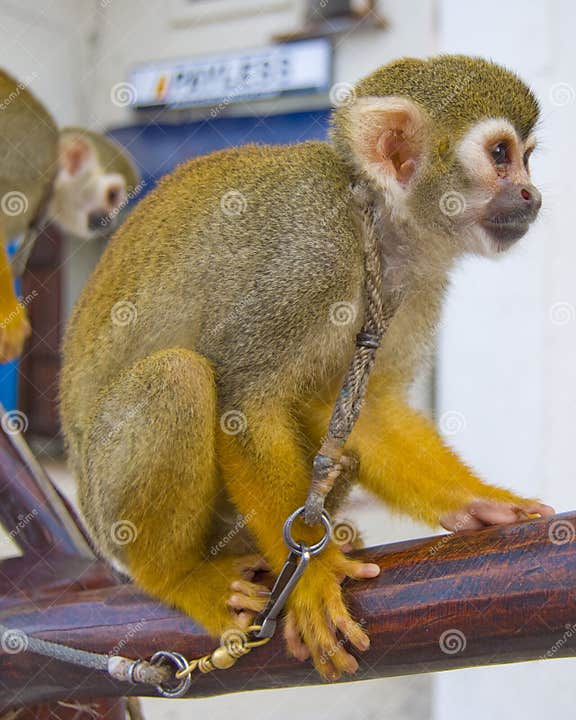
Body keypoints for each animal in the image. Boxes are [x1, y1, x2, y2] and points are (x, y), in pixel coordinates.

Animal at [60, 55, 555, 682]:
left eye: (527, 157)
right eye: (500, 154)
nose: (531, 193)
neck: (375, 225)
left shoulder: (413, 283)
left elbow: (368, 411)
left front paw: (476, 501)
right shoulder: (312, 256)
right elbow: (244, 404)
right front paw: (312, 579)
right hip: (105, 508)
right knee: (177, 375)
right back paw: (179, 577)